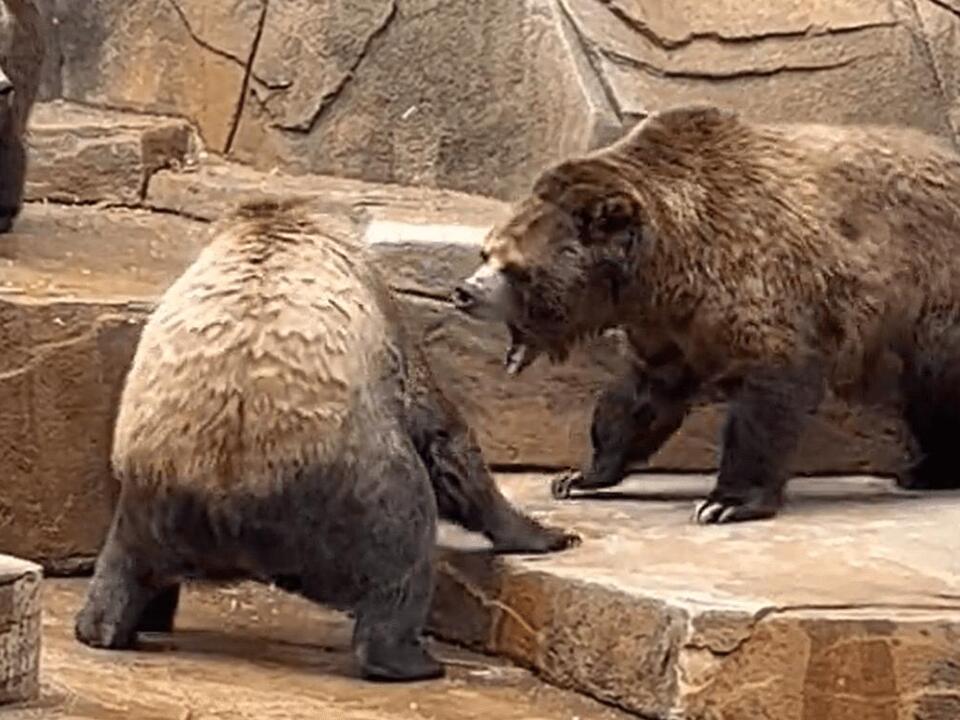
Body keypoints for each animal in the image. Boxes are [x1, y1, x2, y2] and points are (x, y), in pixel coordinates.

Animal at [74, 197, 579, 683]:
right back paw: (406, 659)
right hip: (354, 491)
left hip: (153, 495)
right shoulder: (388, 327)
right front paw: (543, 532)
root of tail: (231, 505)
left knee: (127, 562)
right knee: (404, 555)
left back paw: (108, 624)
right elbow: (445, 440)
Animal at [452, 103, 960, 525]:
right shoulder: (668, 330)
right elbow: (637, 400)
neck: (667, 266)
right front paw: (581, 475)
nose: (465, 291)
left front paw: (726, 502)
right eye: (486, 251)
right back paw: (926, 470)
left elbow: (767, 395)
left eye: (515, 268)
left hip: (936, 301)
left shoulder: (758, 289)